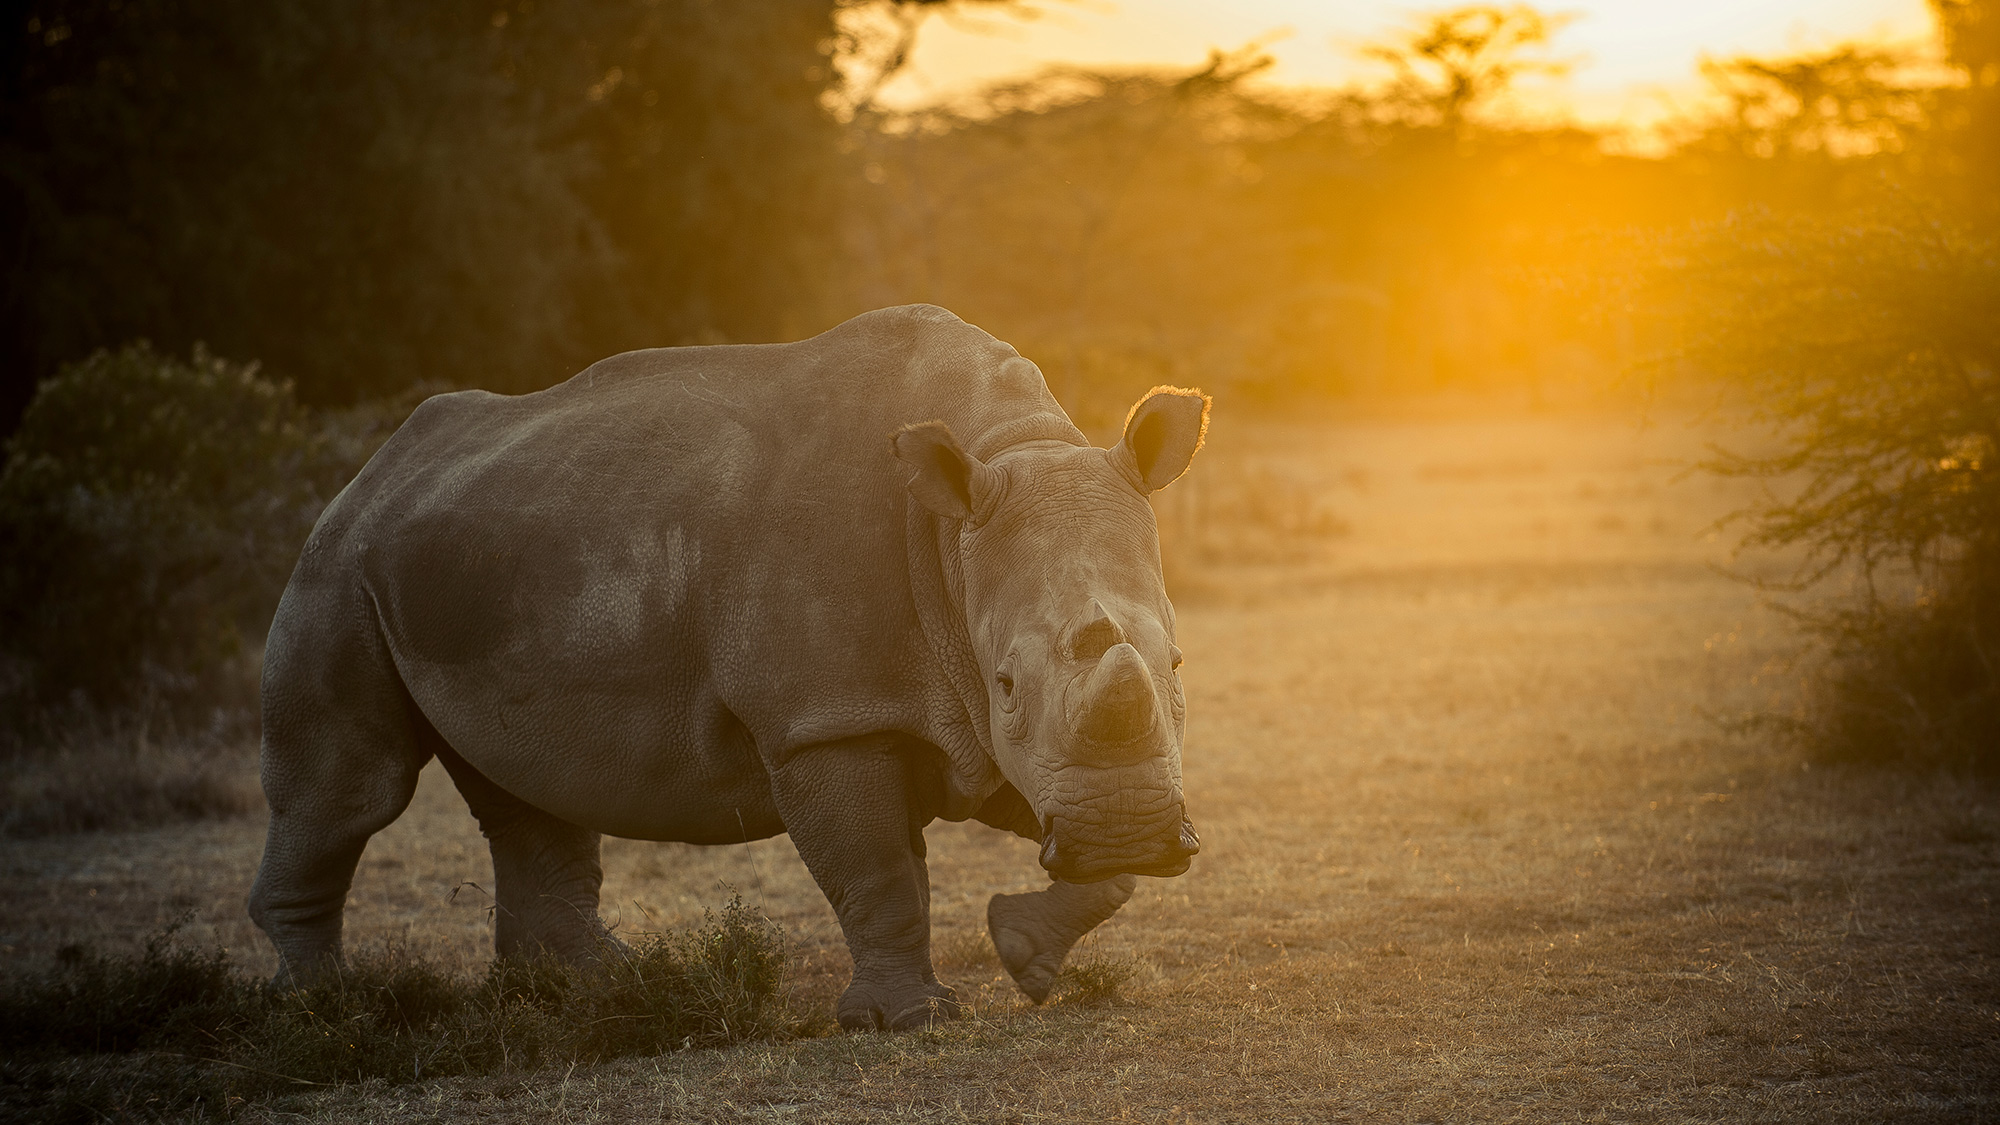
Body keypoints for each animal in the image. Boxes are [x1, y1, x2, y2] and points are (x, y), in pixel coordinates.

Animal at [249, 304, 1206, 1030]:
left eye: (1178, 664)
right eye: (1006, 684)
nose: (1136, 832)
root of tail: (367, 472)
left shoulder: (999, 725)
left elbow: (1076, 810)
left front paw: (1028, 949)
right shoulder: (824, 718)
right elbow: (877, 870)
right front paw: (909, 1019)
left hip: (471, 560)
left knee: (521, 789)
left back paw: (596, 992)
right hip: (337, 565)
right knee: (357, 788)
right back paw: (327, 1016)